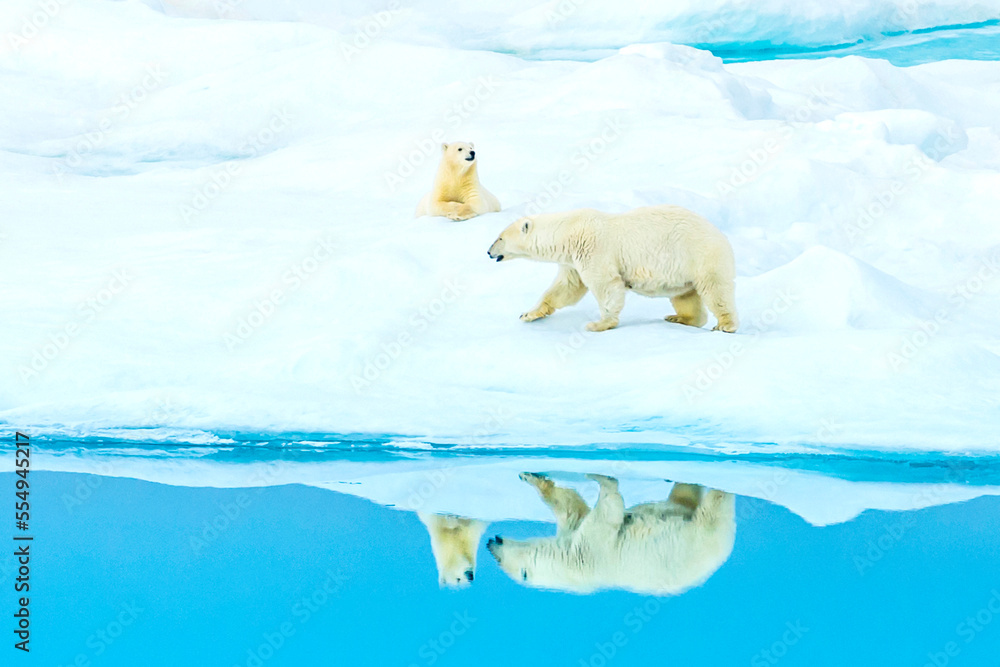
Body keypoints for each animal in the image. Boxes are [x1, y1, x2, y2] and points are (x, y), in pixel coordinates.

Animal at [486, 473, 735, 595]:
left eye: (499, 561)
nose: (490, 542)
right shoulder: (587, 552)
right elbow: (602, 511)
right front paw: (605, 481)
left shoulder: (580, 545)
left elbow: (577, 508)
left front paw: (533, 478)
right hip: (701, 536)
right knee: (702, 505)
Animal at [487, 204, 739, 332]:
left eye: (499, 238)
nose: (488, 252)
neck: (569, 232)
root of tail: (722, 236)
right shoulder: (572, 261)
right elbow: (565, 289)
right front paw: (528, 314)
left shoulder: (593, 249)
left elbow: (606, 285)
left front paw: (598, 324)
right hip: (684, 271)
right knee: (685, 295)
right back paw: (679, 318)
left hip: (701, 255)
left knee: (715, 290)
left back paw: (725, 325)